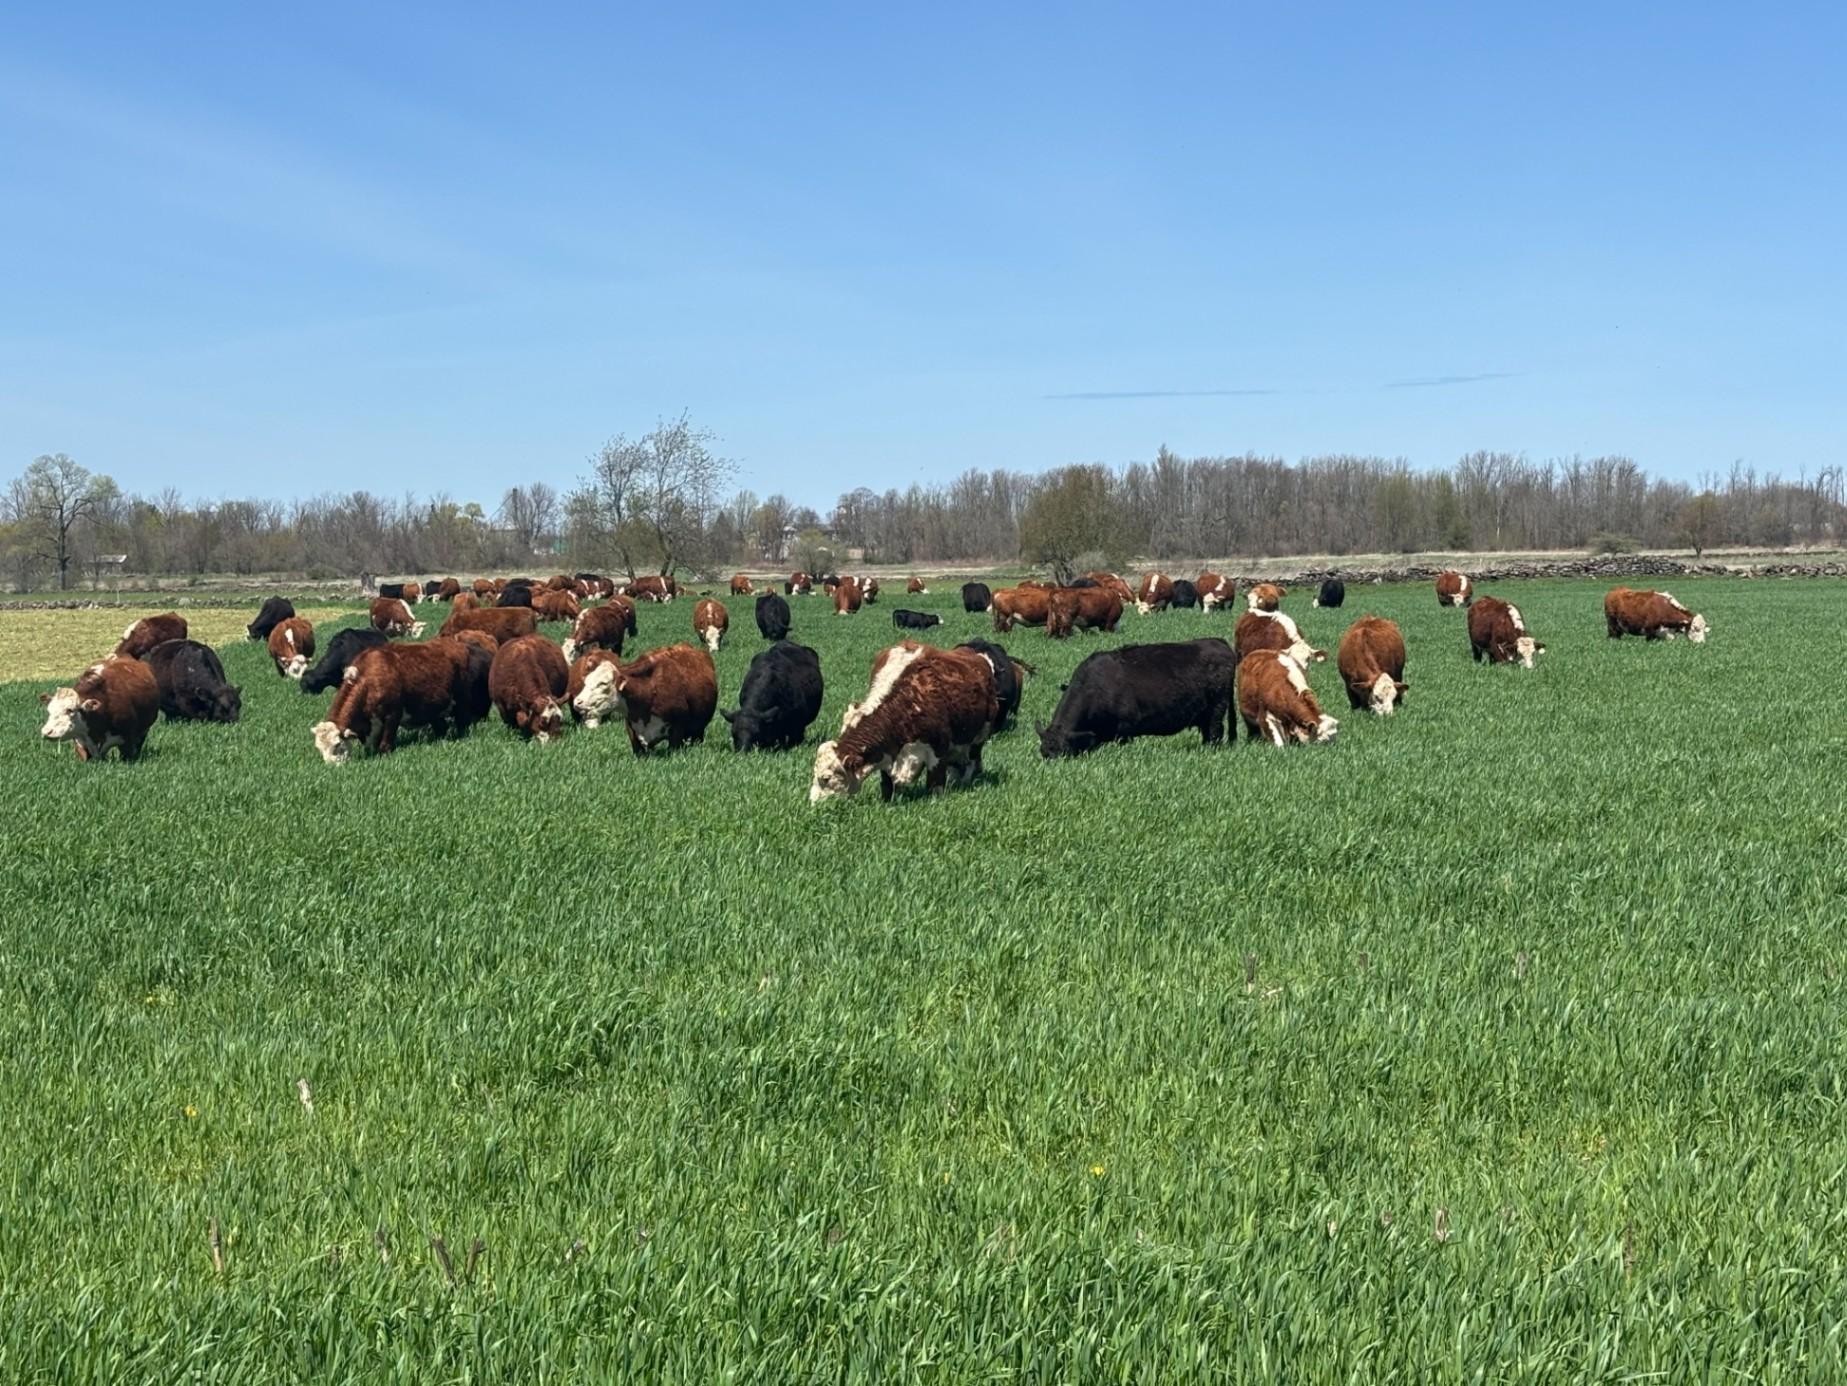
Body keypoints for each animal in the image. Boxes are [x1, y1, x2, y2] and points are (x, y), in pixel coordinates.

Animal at [311, 639, 480, 763]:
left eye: (337, 745)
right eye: (319, 748)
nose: (331, 766)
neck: (369, 679)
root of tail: (457, 645)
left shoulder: (393, 714)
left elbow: (386, 742)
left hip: (462, 700)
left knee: (463, 721)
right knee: (441, 727)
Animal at [572, 644, 718, 755]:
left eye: (603, 683)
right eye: (587, 681)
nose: (577, 701)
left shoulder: (677, 730)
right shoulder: (632, 729)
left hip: (698, 731)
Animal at [809, 643, 999, 802]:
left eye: (826, 778)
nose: (813, 803)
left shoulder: (939, 749)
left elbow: (935, 783)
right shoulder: (887, 751)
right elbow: (887, 783)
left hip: (979, 737)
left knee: (972, 760)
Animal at [1037, 638, 1239, 758]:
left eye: (1062, 754)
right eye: (1044, 754)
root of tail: (1218, 642)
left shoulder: (1125, 728)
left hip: (1217, 708)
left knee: (1215, 732)